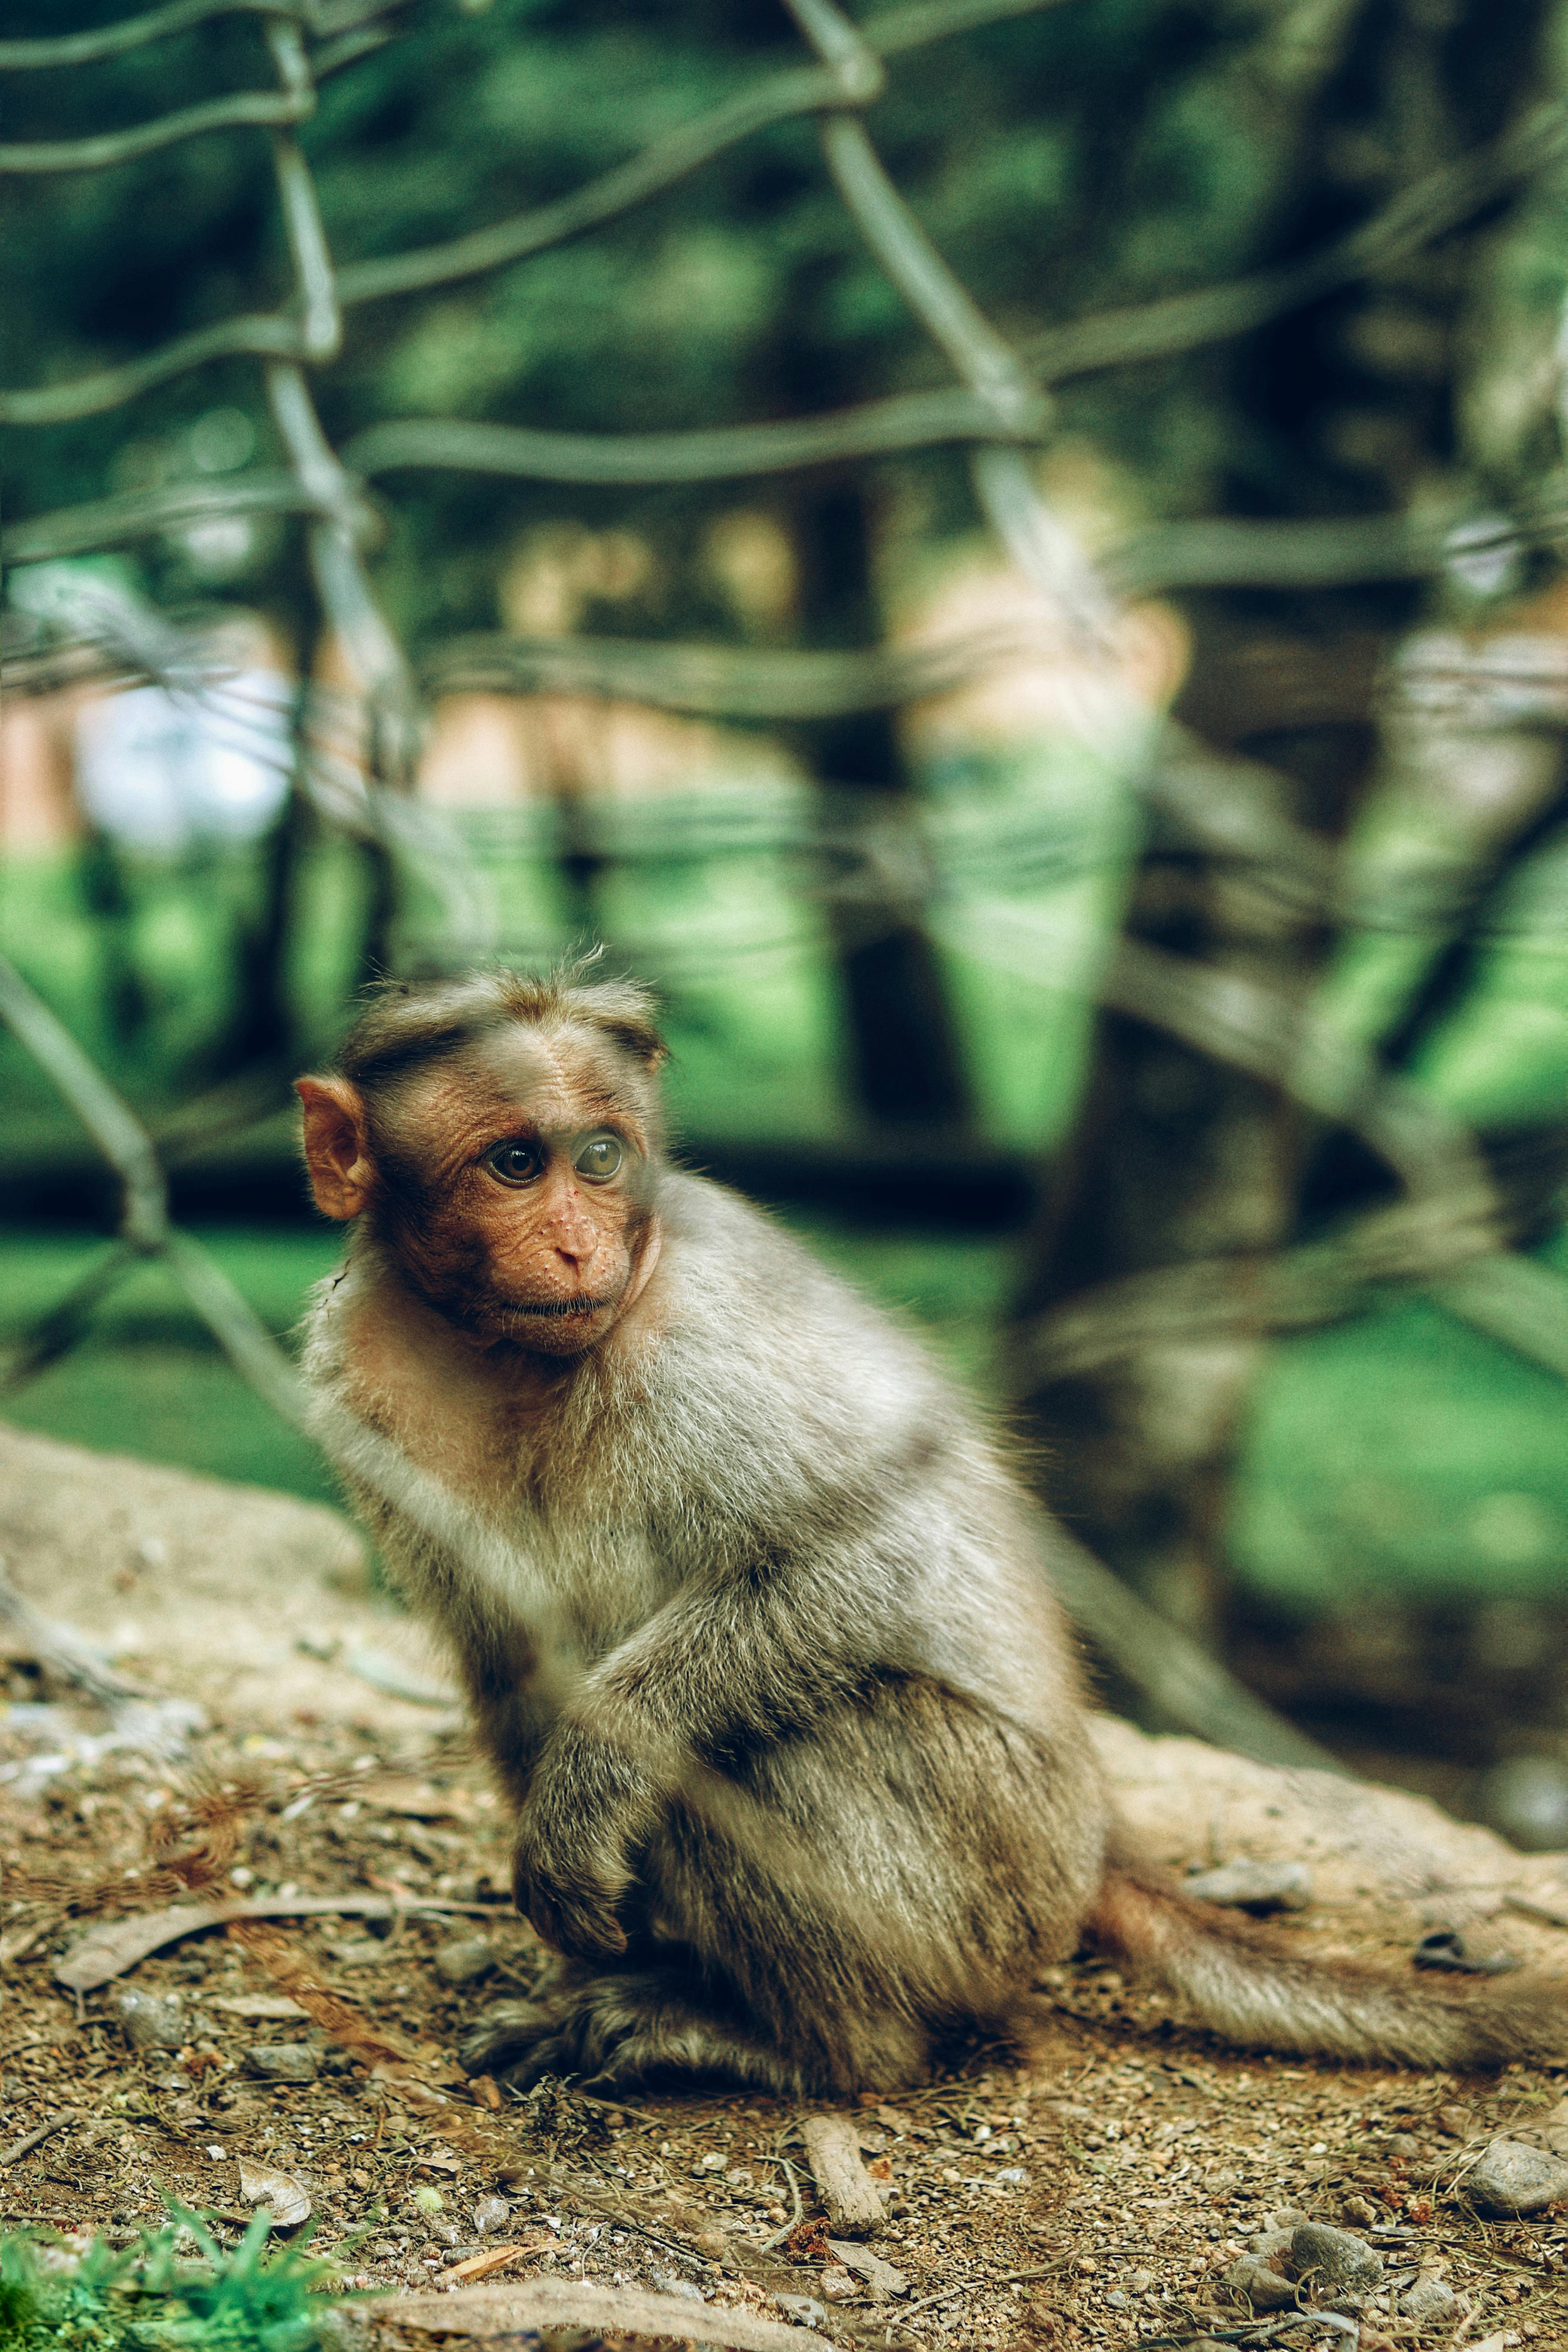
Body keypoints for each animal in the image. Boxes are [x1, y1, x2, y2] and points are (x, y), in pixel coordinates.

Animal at [293, 963, 1566, 2095]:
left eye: (599, 1160)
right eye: (516, 1163)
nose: (577, 1245)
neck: (506, 1355)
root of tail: (1093, 1848)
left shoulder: (698, 1338)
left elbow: (870, 1560)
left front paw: (587, 1793)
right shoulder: (356, 1377)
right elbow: (506, 1656)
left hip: (985, 1887)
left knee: (777, 1742)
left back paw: (811, 2047)